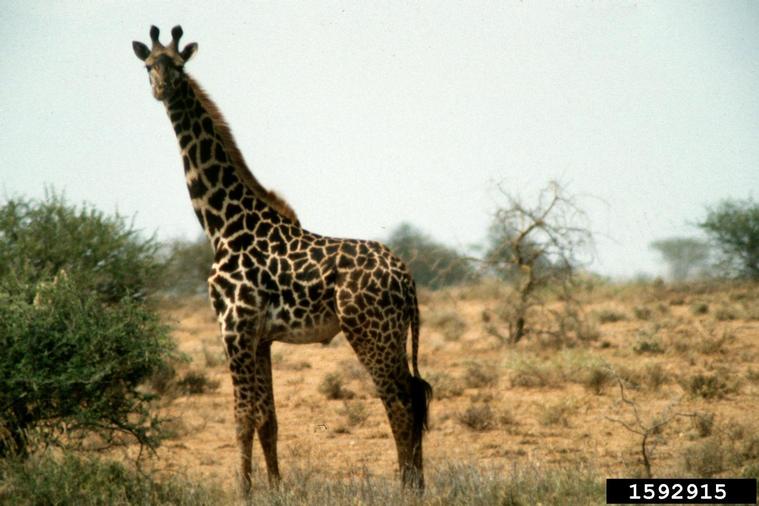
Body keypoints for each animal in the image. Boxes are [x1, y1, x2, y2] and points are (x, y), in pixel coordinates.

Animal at [132, 26, 432, 492]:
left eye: (179, 66)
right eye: (149, 65)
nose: (162, 89)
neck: (222, 225)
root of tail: (406, 278)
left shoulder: (233, 327)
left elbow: (242, 418)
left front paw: (244, 491)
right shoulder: (260, 337)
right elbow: (267, 420)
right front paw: (274, 487)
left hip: (370, 331)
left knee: (399, 401)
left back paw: (406, 488)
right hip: (393, 332)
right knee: (414, 397)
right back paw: (415, 484)